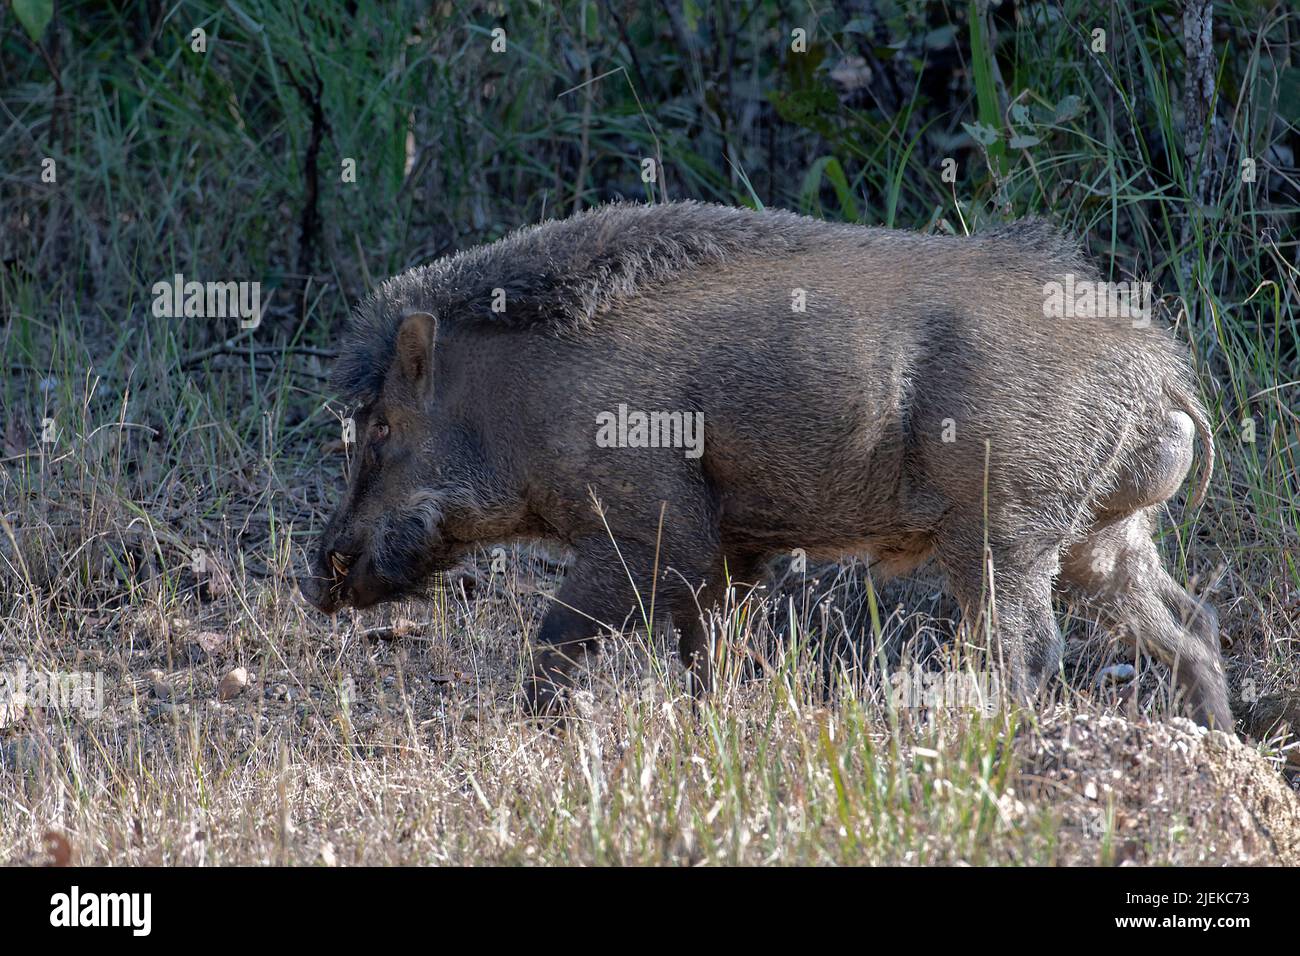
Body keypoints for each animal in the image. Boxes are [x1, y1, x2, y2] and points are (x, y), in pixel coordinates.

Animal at [299, 201, 1232, 729]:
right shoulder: (729, 550)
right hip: (1103, 539)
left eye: (381, 426)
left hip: (1004, 532)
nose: (318, 577)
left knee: (1031, 650)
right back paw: (1219, 739)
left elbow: (557, 637)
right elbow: (706, 654)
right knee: (1192, 627)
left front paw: (536, 733)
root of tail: (1161, 370)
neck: (514, 405)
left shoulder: (654, 535)